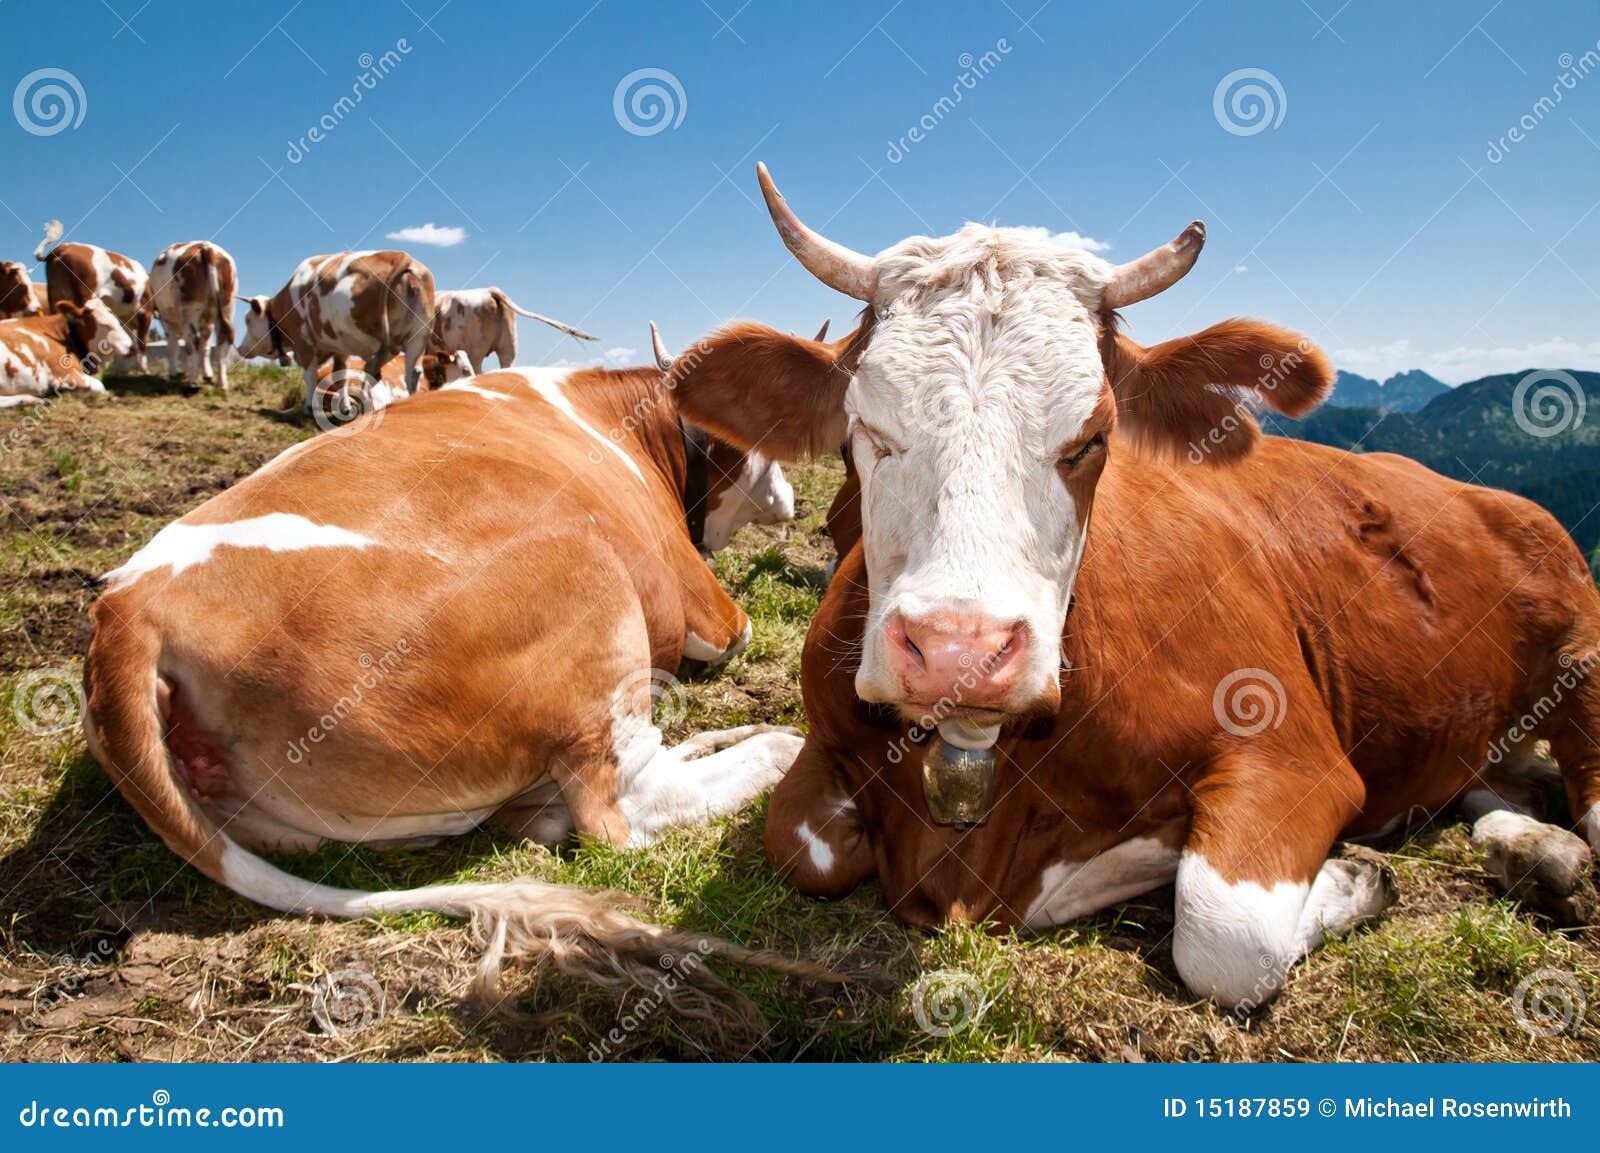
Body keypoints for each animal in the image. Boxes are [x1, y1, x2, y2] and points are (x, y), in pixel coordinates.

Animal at [80, 357, 818, 1000]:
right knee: (621, 809)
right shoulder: (710, 611)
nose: (796, 504)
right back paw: (775, 747)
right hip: (588, 586)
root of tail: (130, 608)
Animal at [147, 241, 238, 390]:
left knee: (192, 340)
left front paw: (173, 373)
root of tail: (206, 247)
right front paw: (207, 374)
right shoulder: (207, 322)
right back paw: (221, 383)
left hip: (190, 307)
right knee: (222, 339)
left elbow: (173, 347)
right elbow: (205, 346)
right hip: (227, 305)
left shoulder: (167, 320)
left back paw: (194, 382)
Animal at [237, 251, 436, 417]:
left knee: (374, 368)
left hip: (385, 339)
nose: (240, 349)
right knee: (409, 373)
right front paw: (346, 407)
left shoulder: (303, 343)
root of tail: (403, 258)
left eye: (248, 320)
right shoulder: (341, 347)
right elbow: (341, 376)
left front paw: (308, 408)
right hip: (416, 337)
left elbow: (310, 376)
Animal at [657, 164, 1600, 1011]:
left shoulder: (1295, 753)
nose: (959, 651)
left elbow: (1221, 933)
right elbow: (799, 840)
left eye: (1093, 436)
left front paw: (1340, 871)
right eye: (868, 428)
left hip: (1582, 655)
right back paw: (1529, 845)